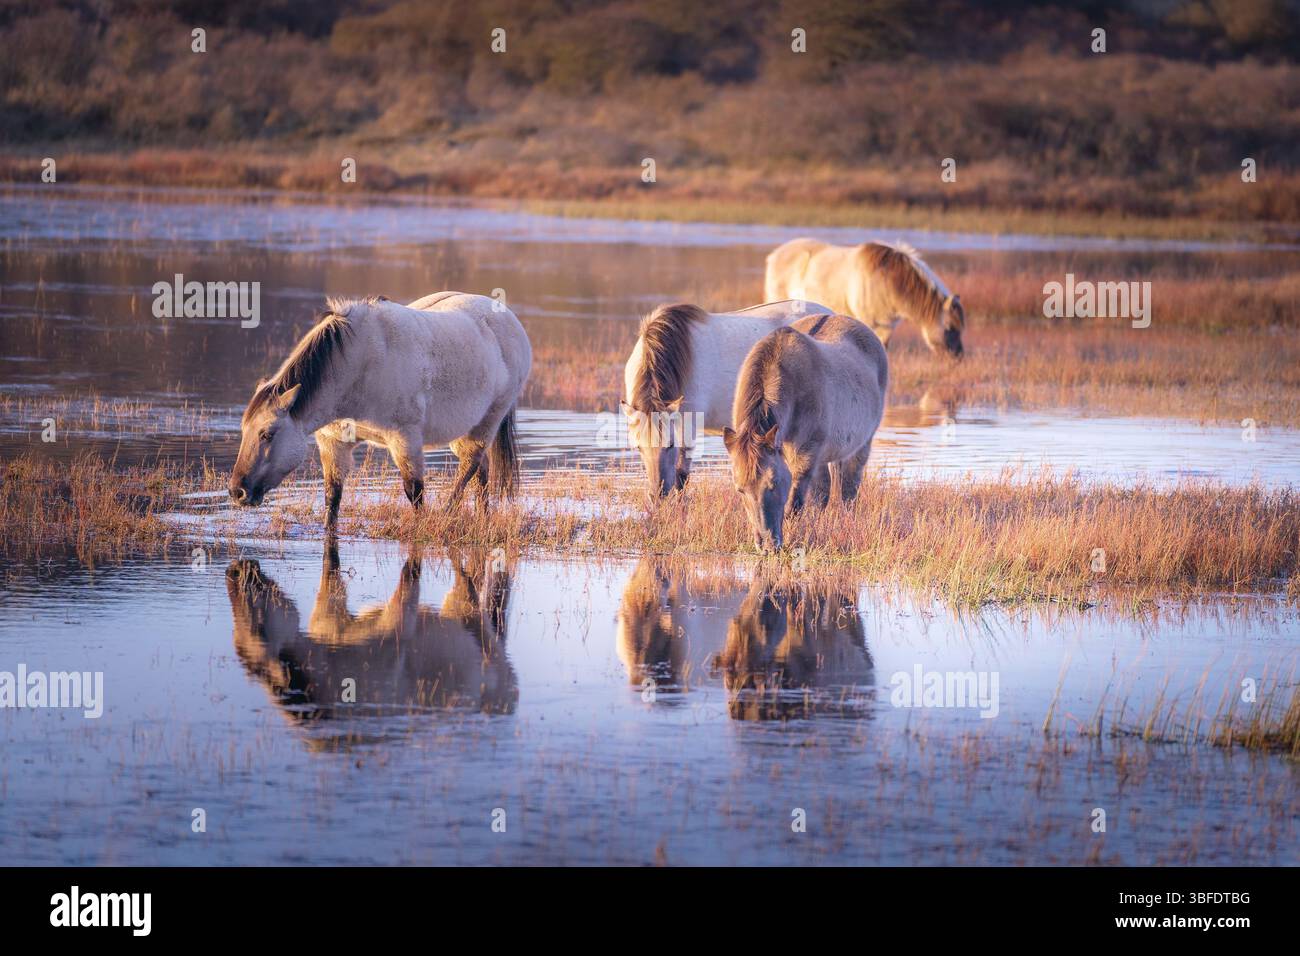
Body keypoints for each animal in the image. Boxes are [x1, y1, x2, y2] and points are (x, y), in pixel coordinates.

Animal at [229, 292, 531, 526]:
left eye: (267, 434)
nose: (237, 491)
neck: (356, 365)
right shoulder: (333, 443)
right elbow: (332, 498)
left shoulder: (405, 440)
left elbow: (415, 493)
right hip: (465, 429)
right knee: (480, 470)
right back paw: (483, 516)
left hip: (488, 420)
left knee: (471, 464)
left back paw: (447, 514)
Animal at [722, 312, 888, 552]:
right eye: (740, 490)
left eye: (773, 484)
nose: (767, 545)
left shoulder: (805, 456)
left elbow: (795, 506)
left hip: (860, 447)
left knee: (849, 490)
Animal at [764, 238, 965, 356]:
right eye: (949, 328)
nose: (957, 357)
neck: (888, 282)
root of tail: (775, 255)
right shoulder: (868, 322)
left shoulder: (887, 327)